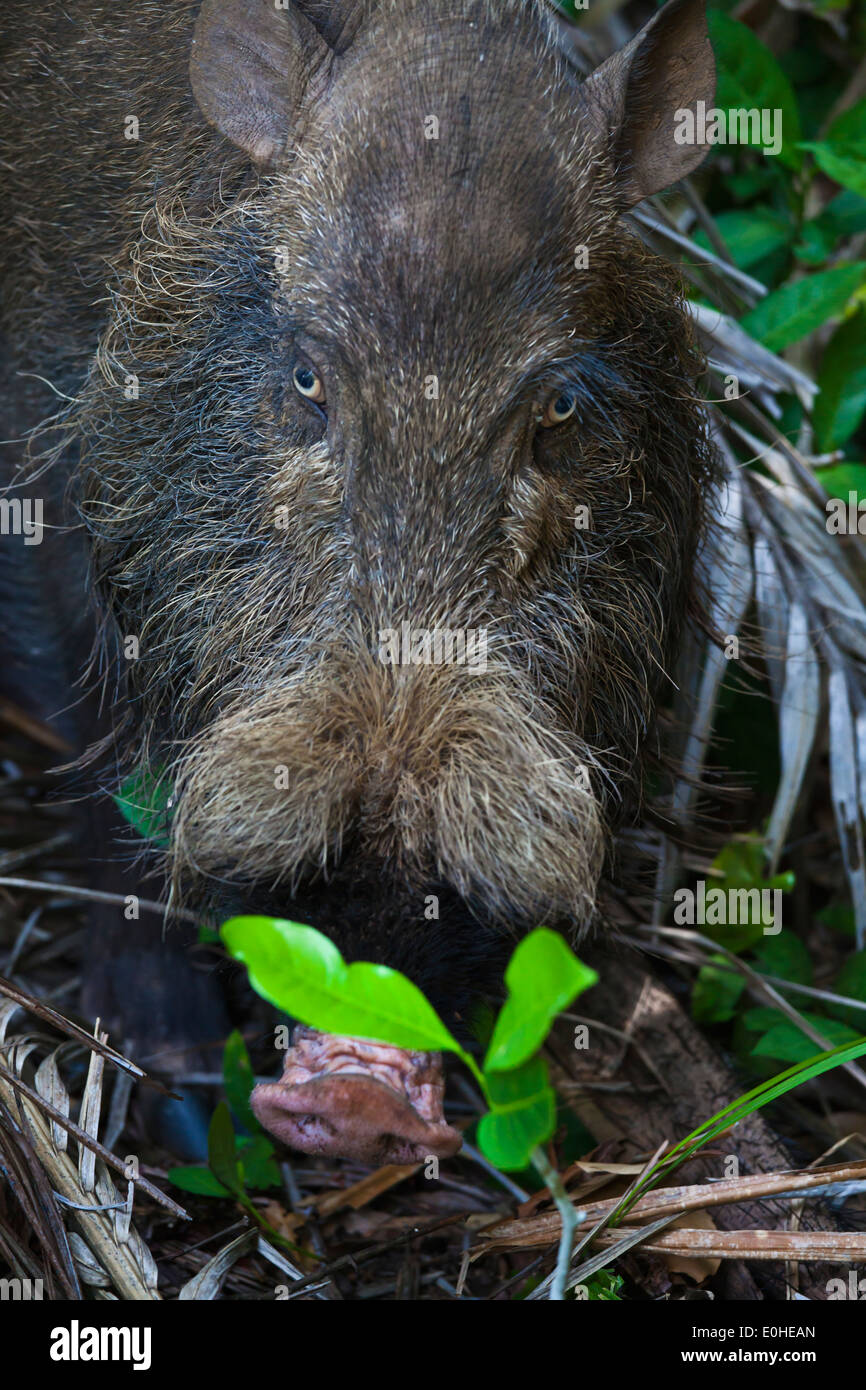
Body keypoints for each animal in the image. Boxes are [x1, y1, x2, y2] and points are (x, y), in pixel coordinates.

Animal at [0, 0, 717, 1163]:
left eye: (558, 409)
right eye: (306, 378)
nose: (356, 1088)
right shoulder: (45, 504)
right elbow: (109, 771)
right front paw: (176, 1086)